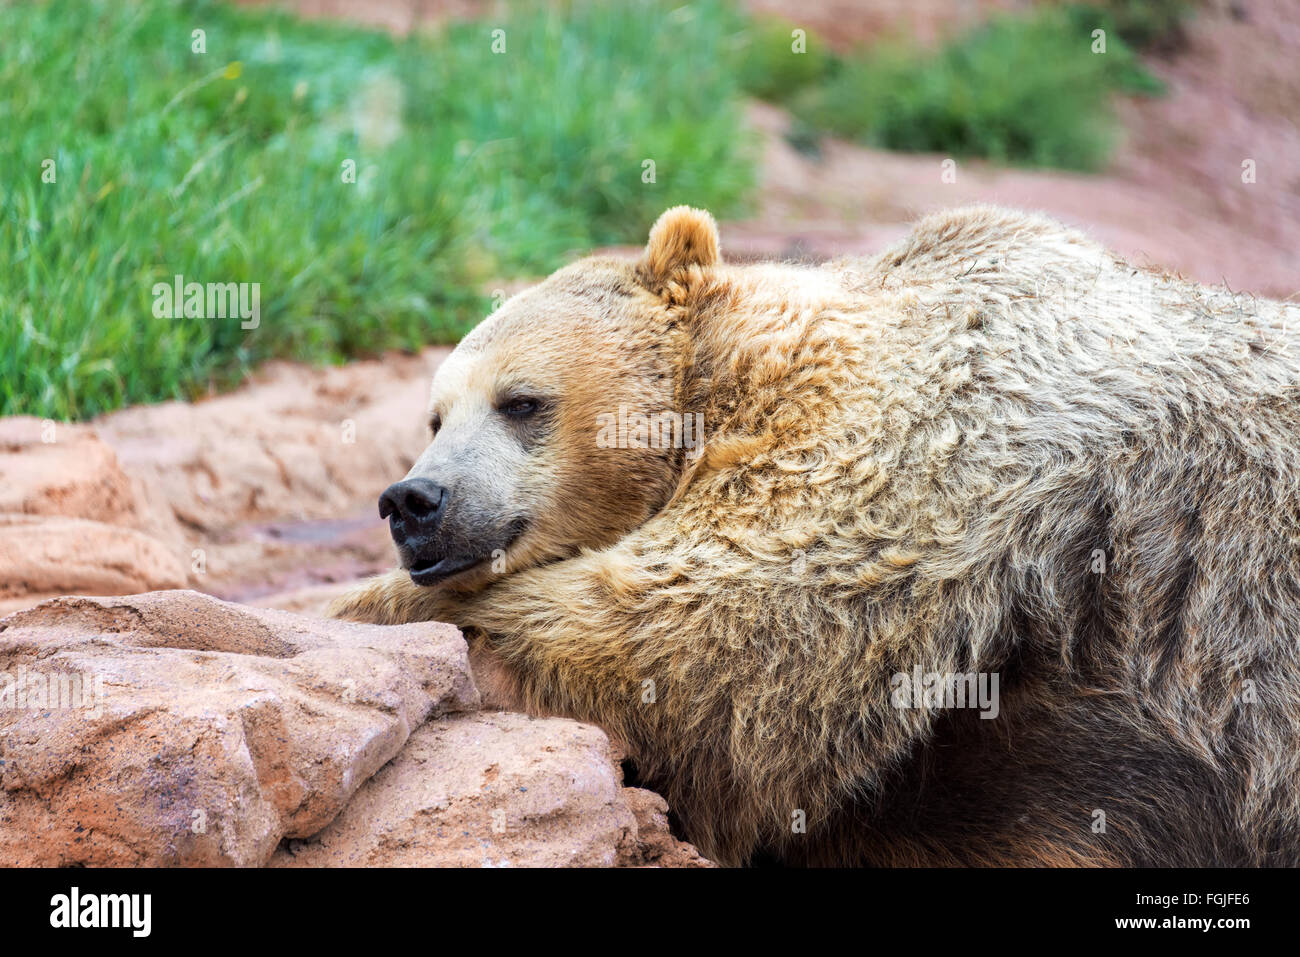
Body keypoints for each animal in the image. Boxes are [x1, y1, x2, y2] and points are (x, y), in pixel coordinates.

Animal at [332, 204, 1300, 867]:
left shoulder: (916, 439)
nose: (413, 501)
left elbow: (709, 638)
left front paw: (369, 612)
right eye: (434, 415)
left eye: (522, 400)